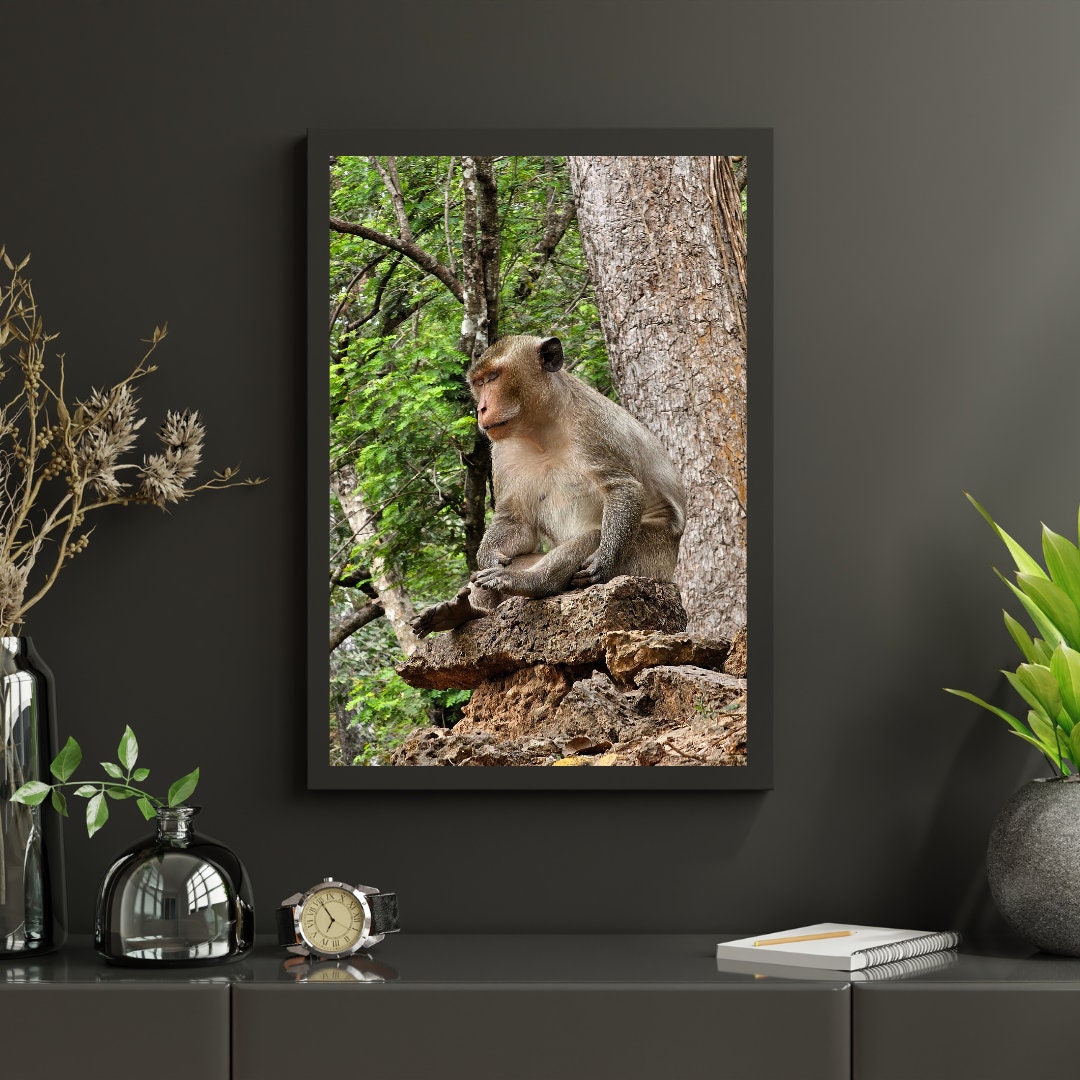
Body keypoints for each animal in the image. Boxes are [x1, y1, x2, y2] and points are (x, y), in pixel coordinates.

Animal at [411, 334, 686, 638]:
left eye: (493, 378)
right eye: (479, 383)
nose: (481, 408)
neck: (540, 428)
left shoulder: (592, 426)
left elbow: (622, 488)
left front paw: (604, 560)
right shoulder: (502, 450)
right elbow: (516, 520)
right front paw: (487, 556)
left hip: (651, 561)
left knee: (594, 536)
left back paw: (529, 581)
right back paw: (464, 612)